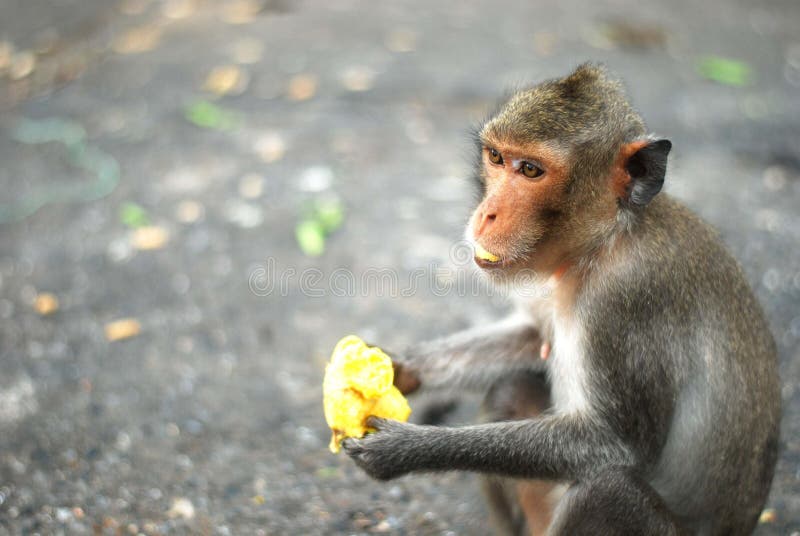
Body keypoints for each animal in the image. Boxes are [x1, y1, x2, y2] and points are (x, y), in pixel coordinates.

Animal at [341, 63, 781, 535]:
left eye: (531, 170)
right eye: (496, 158)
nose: (485, 214)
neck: (604, 243)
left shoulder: (627, 298)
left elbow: (615, 446)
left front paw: (402, 449)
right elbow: (533, 336)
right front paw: (399, 367)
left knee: (605, 490)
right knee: (510, 388)